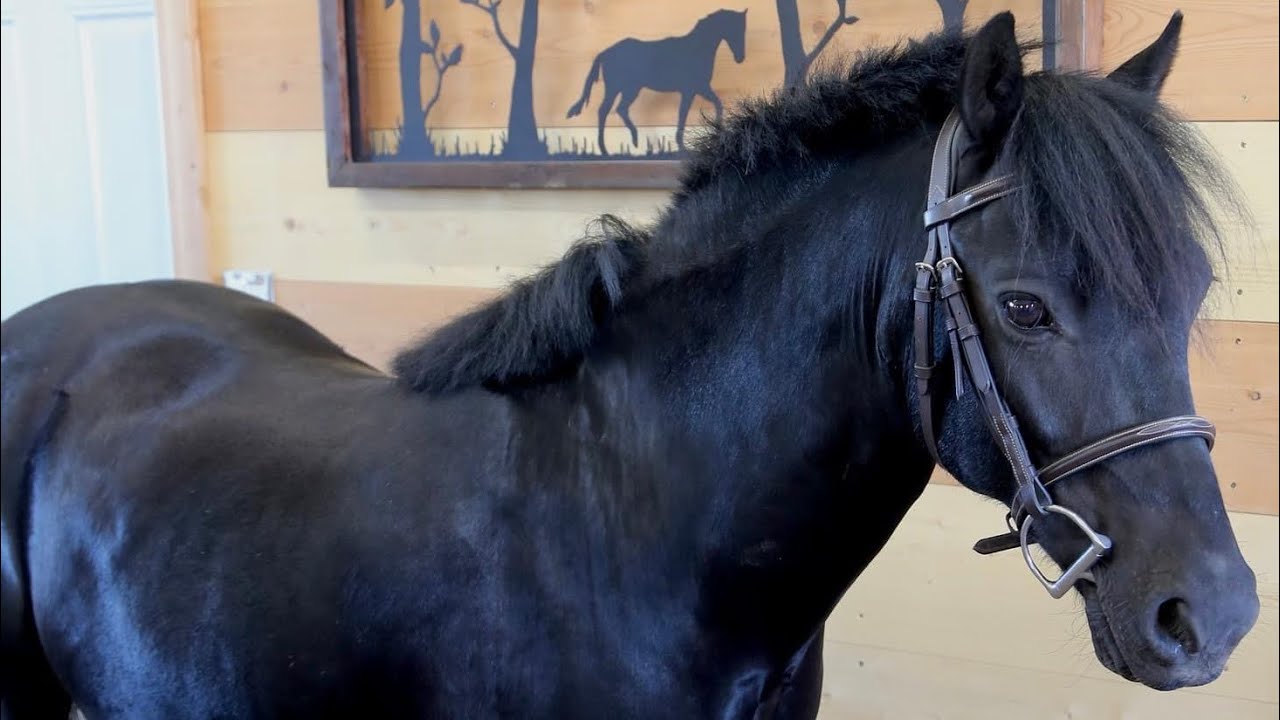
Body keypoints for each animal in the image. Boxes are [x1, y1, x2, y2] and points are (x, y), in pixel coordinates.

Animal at [565, 8, 748, 154]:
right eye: (735, 29)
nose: (740, 58)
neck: (696, 49)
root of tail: (605, 52)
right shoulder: (692, 89)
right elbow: (684, 114)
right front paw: (682, 147)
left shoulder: (700, 88)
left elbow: (717, 104)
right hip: (617, 88)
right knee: (604, 111)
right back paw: (604, 150)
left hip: (630, 89)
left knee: (620, 109)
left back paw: (634, 141)